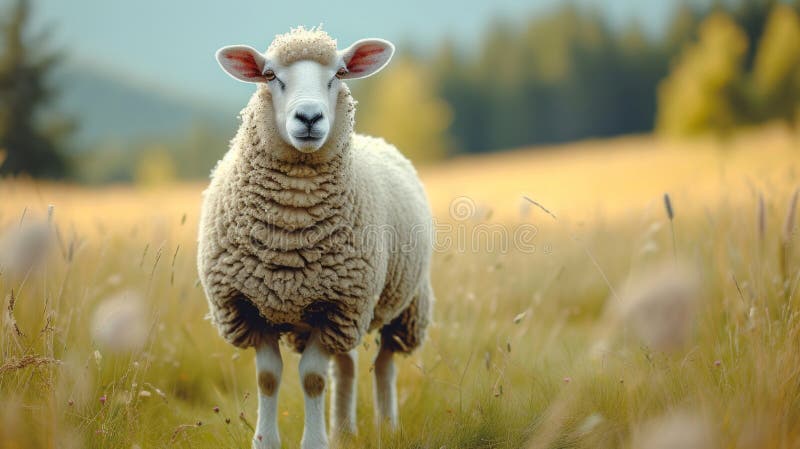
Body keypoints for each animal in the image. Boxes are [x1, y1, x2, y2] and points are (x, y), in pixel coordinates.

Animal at [197, 27, 434, 449]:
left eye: (339, 73)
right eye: (270, 75)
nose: (309, 117)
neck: (290, 227)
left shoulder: (337, 305)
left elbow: (312, 379)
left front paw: (315, 442)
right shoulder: (250, 306)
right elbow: (268, 377)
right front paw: (266, 441)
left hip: (401, 307)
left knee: (384, 364)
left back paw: (387, 426)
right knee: (348, 366)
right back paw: (344, 429)